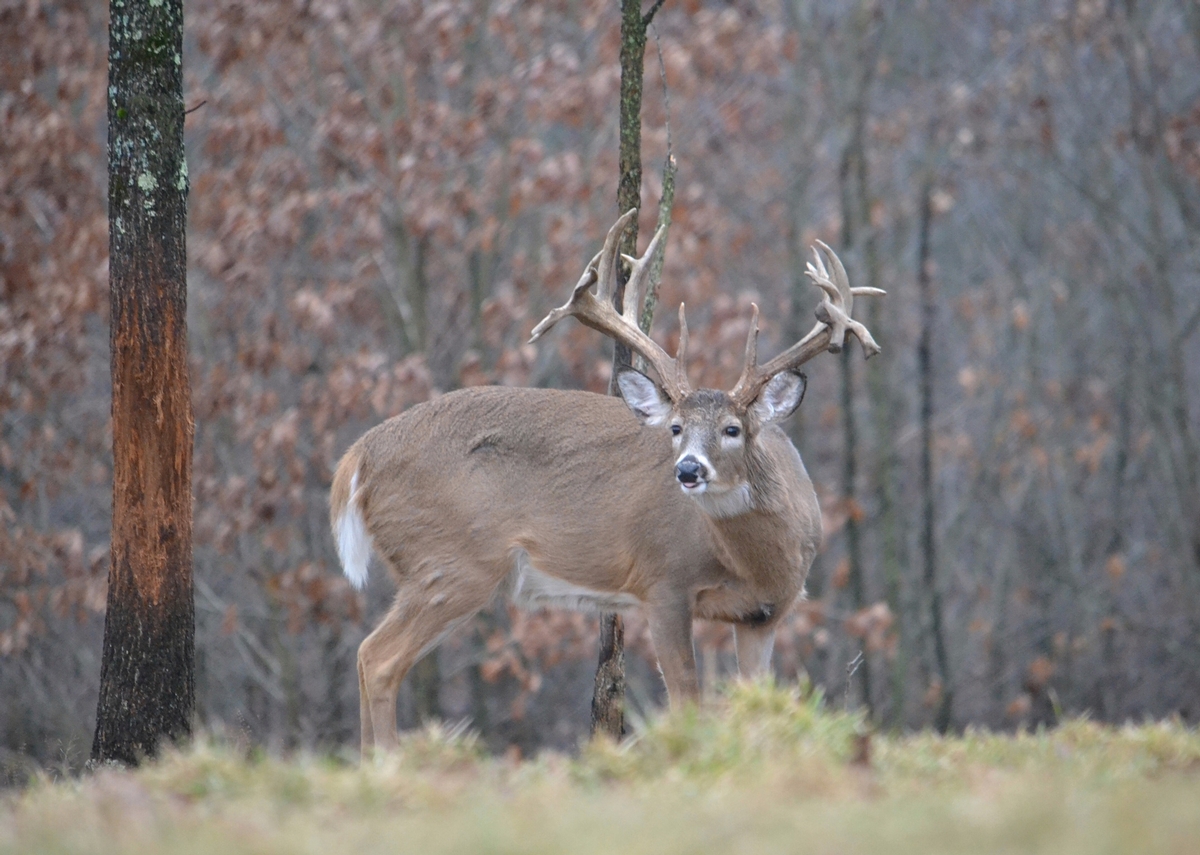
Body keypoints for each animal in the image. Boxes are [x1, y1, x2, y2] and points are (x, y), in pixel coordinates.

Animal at [329, 209, 884, 756]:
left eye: (733, 429)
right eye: (676, 428)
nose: (688, 470)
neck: (758, 562)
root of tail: (358, 456)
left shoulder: (762, 616)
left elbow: (755, 707)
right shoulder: (664, 583)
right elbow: (687, 703)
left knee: (362, 656)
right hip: (448, 562)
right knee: (378, 659)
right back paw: (388, 763)